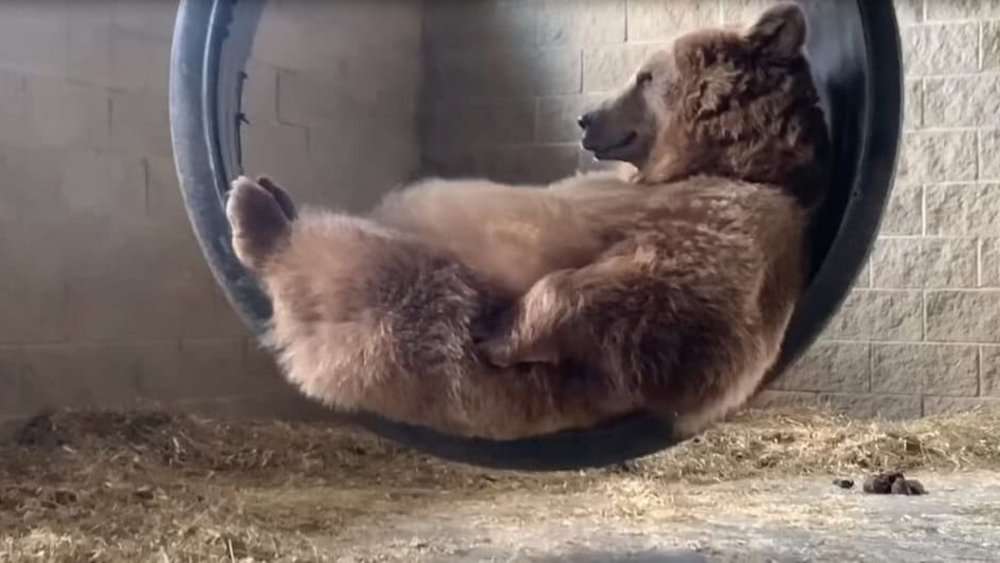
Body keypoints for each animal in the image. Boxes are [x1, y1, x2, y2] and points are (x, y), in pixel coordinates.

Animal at [225, 3, 831, 441]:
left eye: (644, 75)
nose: (587, 117)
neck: (723, 161)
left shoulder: (737, 232)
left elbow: (669, 304)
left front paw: (502, 332)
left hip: (426, 319)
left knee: (358, 278)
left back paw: (258, 212)